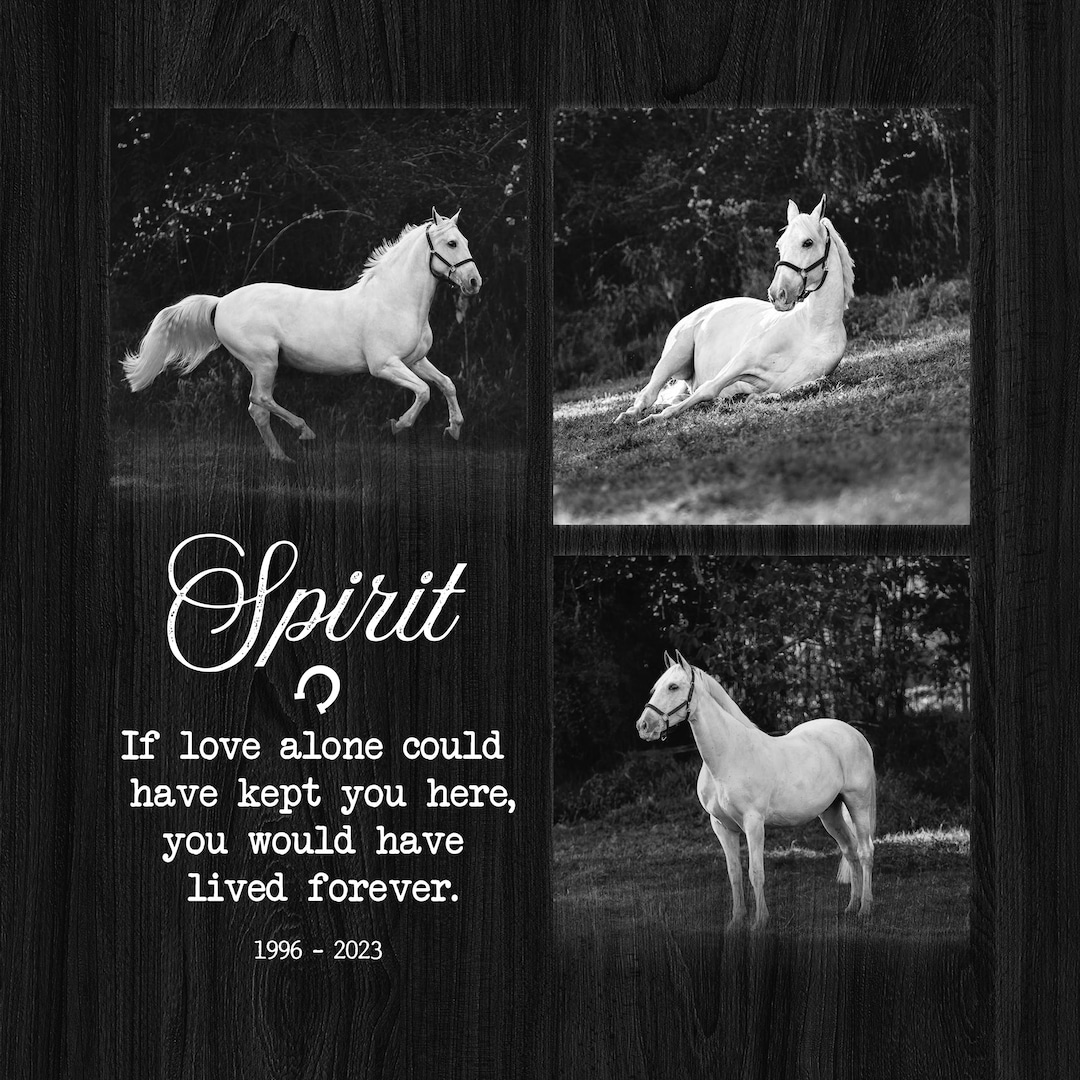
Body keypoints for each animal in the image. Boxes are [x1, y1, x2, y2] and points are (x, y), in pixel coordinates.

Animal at [122, 208, 482, 461]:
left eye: (465, 241)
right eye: (451, 243)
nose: (474, 282)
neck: (394, 300)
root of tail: (221, 302)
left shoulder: (416, 359)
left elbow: (446, 384)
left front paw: (454, 429)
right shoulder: (384, 365)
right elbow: (423, 391)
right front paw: (399, 425)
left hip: (264, 365)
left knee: (257, 409)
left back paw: (282, 456)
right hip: (264, 362)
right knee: (260, 400)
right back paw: (304, 432)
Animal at [613, 194, 854, 426]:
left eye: (808, 242)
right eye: (779, 246)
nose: (778, 294)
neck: (812, 329)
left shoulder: (786, 382)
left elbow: (772, 393)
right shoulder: (741, 360)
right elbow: (708, 388)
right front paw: (656, 419)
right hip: (671, 359)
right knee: (648, 394)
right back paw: (628, 416)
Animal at [635, 651, 876, 929]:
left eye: (673, 687)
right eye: (656, 688)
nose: (643, 726)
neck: (728, 756)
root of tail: (855, 733)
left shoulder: (753, 823)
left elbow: (756, 873)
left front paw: (760, 923)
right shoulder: (722, 826)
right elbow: (734, 874)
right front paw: (736, 922)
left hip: (858, 803)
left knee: (865, 851)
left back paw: (865, 909)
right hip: (830, 812)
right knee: (849, 850)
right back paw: (851, 907)